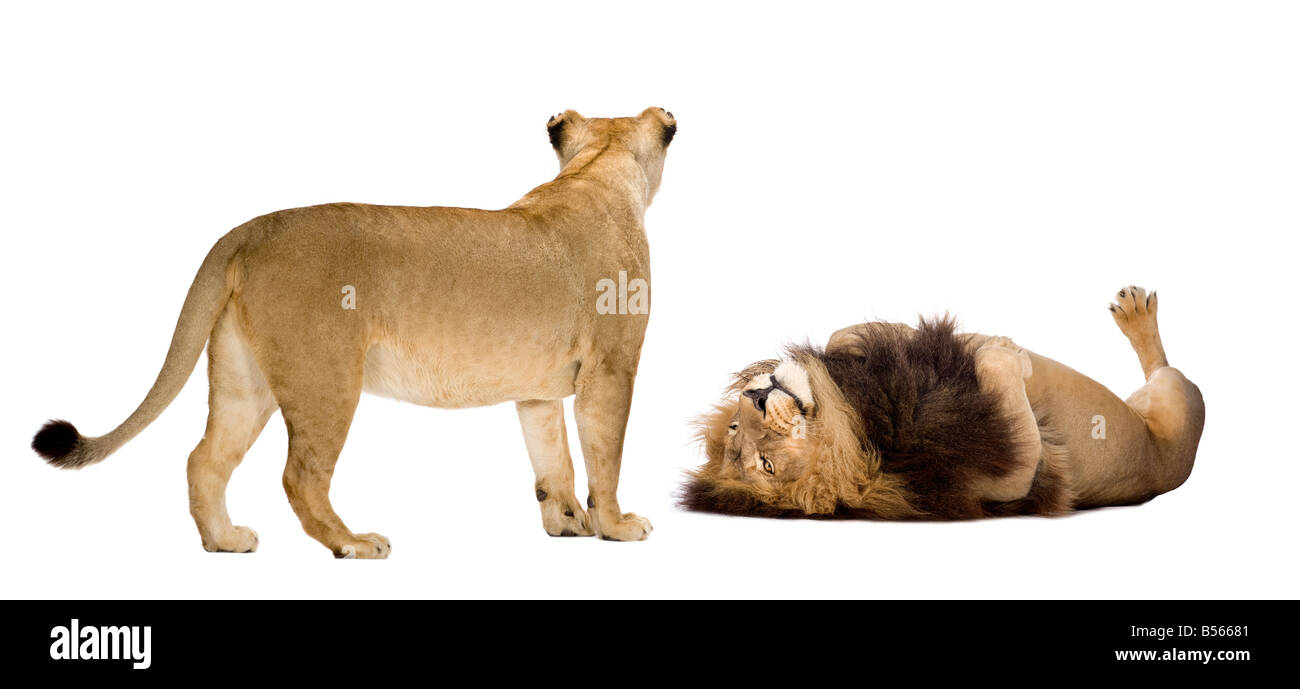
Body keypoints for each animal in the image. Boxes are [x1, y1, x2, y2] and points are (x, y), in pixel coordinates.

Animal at [31, 107, 677, 557]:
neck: (594, 174)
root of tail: (249, 230)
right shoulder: (612, 368)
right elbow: (604, 456)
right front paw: (617, 526)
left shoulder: (537, 390)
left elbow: (552, 460)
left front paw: (566, 524)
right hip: (328, 378)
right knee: (299, 476)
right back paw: (355, 543)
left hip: (245, 378)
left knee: (203, 459)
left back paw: (225, 540)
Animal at [683, 286, 1205, 520]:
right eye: (765, 466)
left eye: (735, 425)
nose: (755, 397)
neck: (855, 420)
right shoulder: (998, 483)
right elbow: (1023, 455)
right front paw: (1004, 352)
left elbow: (841, 335)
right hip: (1181, 394)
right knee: (1163, 366)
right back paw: (1138, 315)